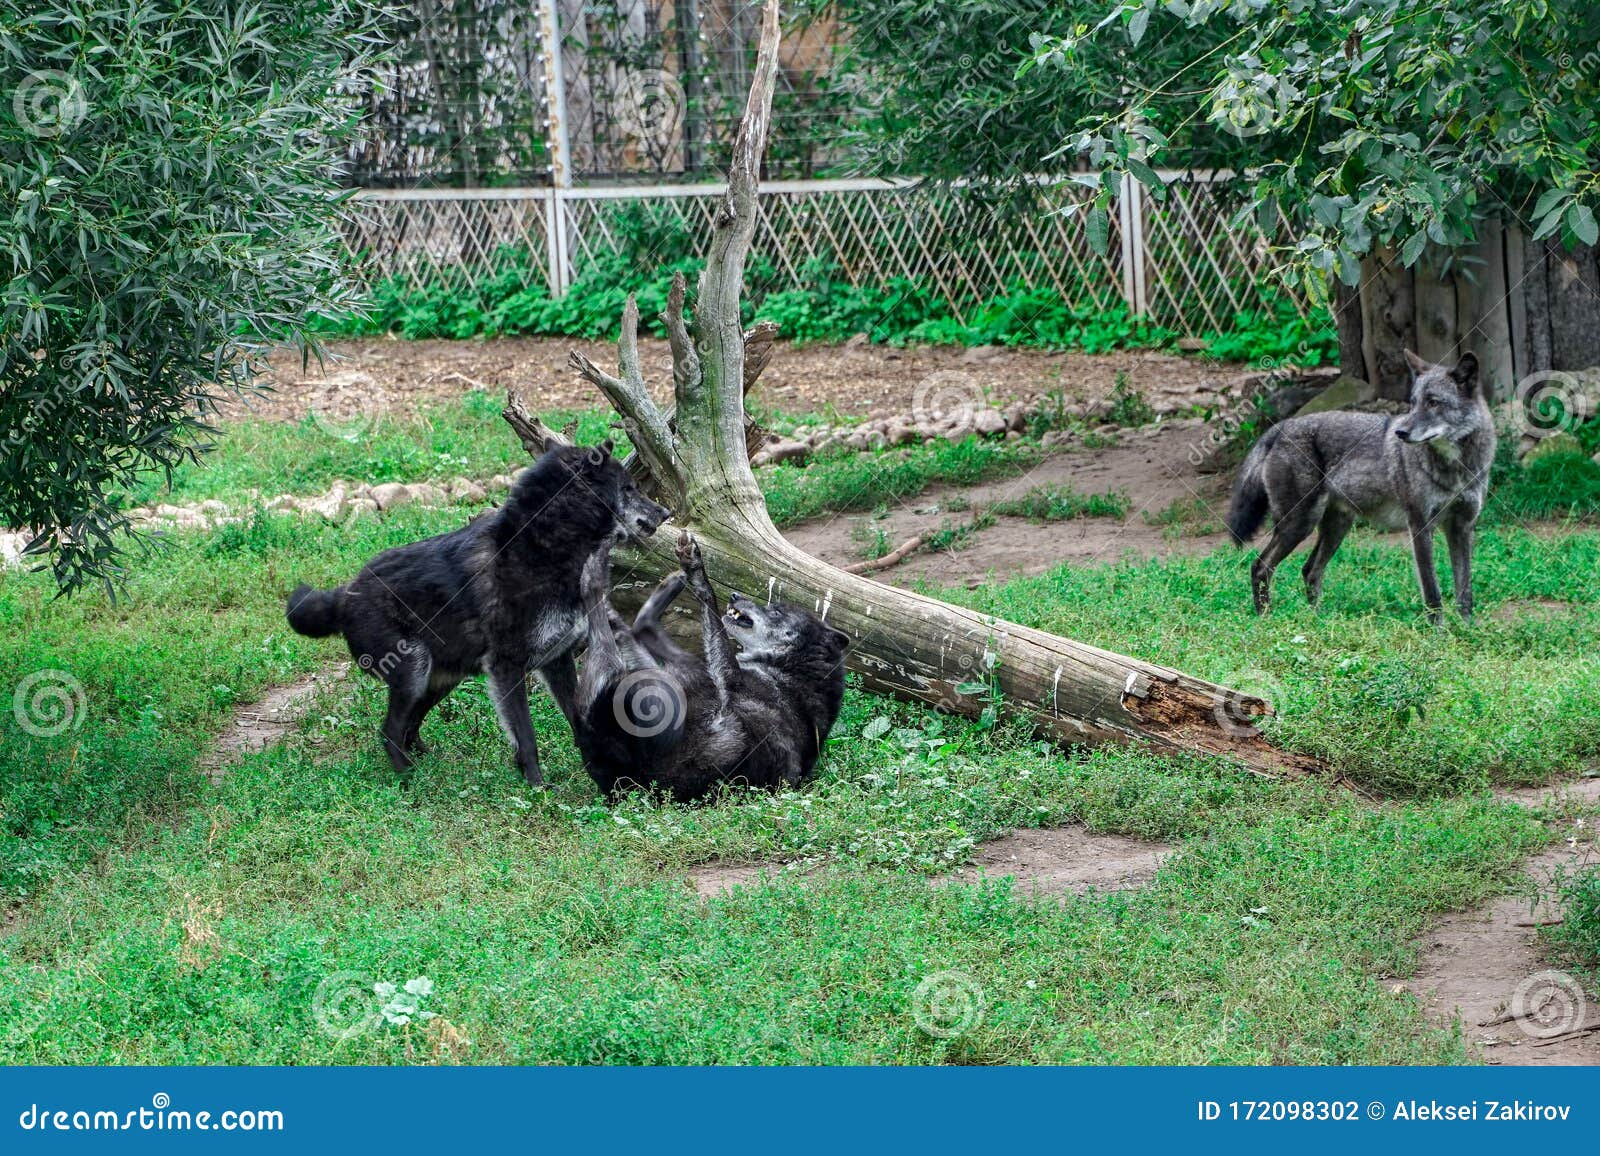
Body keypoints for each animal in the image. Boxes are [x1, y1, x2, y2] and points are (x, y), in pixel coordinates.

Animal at [285, 441, 669, 784]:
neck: (543, 549)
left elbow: (578, 719)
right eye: (629, 488)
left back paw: (428, 764)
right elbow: (526, 736)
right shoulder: (506, 667)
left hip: (440, 680)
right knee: (390, 732)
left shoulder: (556, 660)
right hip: (415, 669)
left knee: (409, 727)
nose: (665, 513)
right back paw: (410, 782)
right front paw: (537, 786)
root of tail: (343, 595)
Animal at [564, 532, 849, 803]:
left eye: (776, 612)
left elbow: (709, 602)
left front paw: (696, 570)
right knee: (638, 628)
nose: (735, 595)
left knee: (610, 634)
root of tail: (632, 778)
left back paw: (597, 573)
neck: (788, 670)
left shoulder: (729, 677)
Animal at [1227, 350, 1495, 623]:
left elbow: (1465, 589)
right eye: (1413, 403)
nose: (1400, 432)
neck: (1456, 467)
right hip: (1299, 524)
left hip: (1336, 527)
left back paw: (1318, 621)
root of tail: (1280, 427)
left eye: (1433, 403)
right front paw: (1438, 630)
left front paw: (1465, 627)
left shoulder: (1461, 527)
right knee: (1260, 566)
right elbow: (1433, 591)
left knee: (1309, 570)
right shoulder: (1420, 526)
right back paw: (1266, 619)